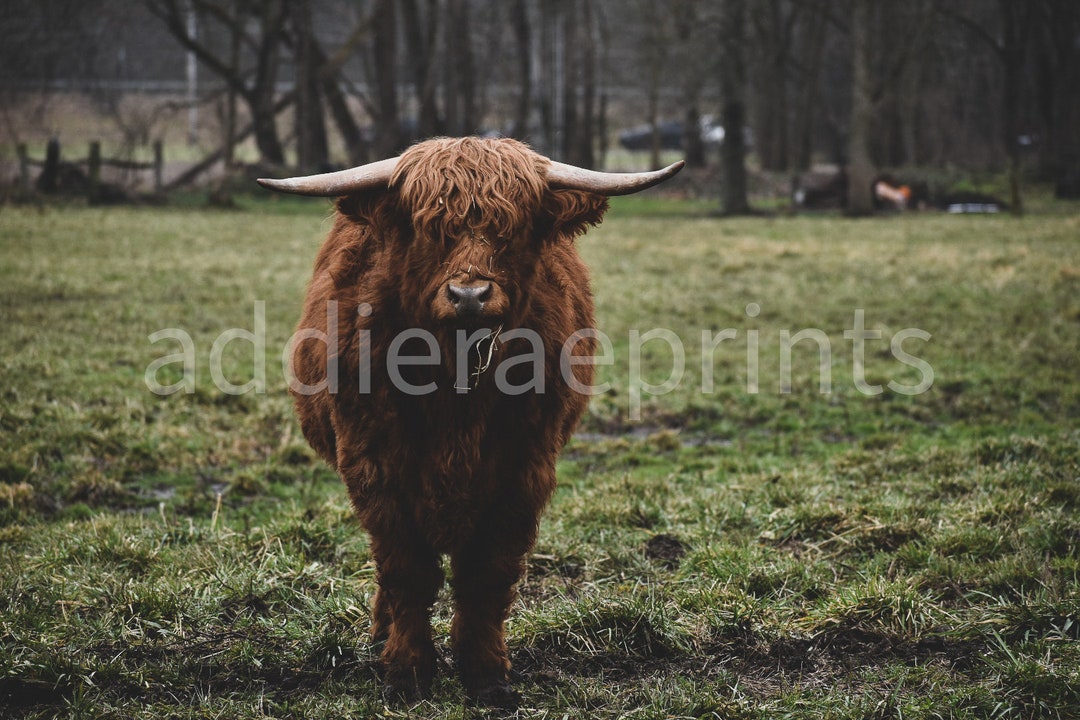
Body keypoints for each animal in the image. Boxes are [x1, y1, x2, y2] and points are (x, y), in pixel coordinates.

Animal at [258, 137, 682, 706]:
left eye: (513, 228)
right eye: (428, 228)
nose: (469, 296)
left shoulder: (524, 470)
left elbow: (487, 573)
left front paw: (485, 674)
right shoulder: (373, 466)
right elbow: (405, 570)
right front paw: (407, 672)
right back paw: (380, 633)